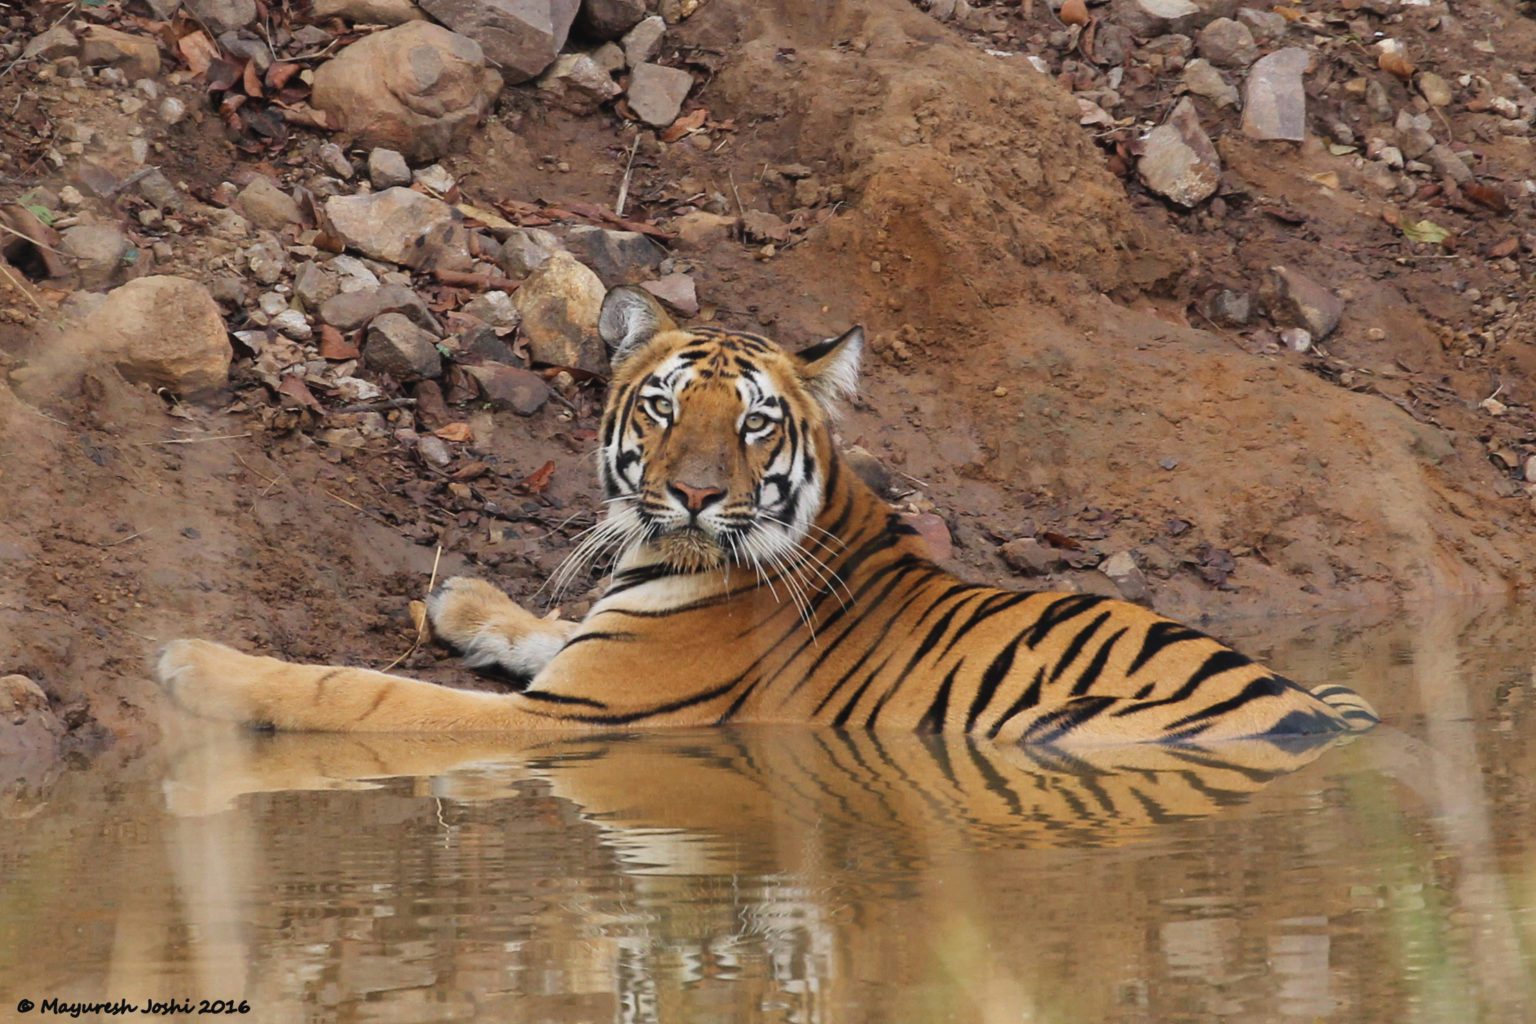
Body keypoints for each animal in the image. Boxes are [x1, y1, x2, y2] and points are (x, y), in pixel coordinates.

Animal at [156, 285, 1379, 745]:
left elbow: (361, 693)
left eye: (751, 425)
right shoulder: (593, 650)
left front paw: (197, 664)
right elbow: (543, 624)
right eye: (661, 405)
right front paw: (463, 595)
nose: (693, 493)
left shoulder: (574, 720)